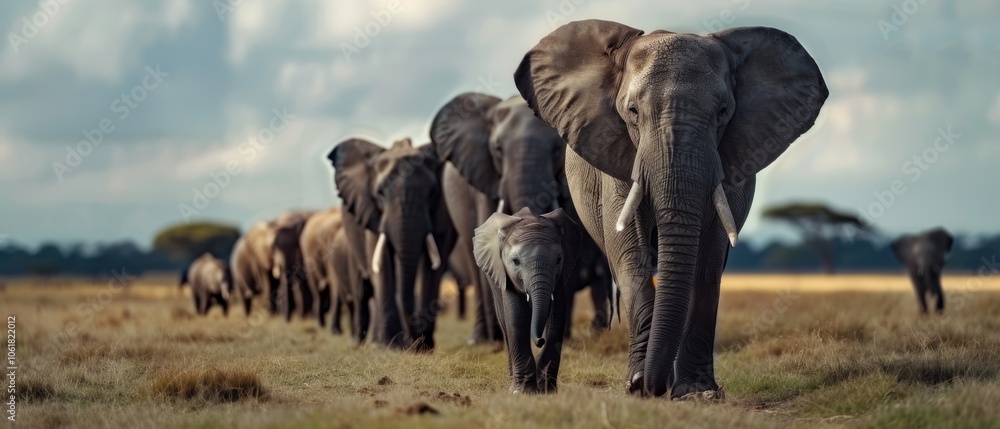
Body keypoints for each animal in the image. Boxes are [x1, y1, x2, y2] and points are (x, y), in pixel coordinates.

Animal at [327, 137, 456, 351]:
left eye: (433, 193)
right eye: (380, 194)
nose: (415, 343)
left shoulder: (443, 214)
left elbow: (433, 268)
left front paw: (425, 347)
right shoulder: (372, 214)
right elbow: (382, 267)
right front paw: (391, 346)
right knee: (361, 296)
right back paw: (363, 342)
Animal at [474, 208, 582, 394]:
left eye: (558, 260)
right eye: (515, 261)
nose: (539, 340)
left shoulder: (560, 277)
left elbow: (558, 316)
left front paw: (547, 390)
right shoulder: (506, 275)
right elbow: (516, 318)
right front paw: (523, 392)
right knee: (505, 325)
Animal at [514, 20, 828, 398]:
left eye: (723, 112)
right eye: (632, 111)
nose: (654, 387)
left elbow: (707, 261)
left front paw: (696, 391)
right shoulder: (618, 157)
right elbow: (629, 253)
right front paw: (638, 384)